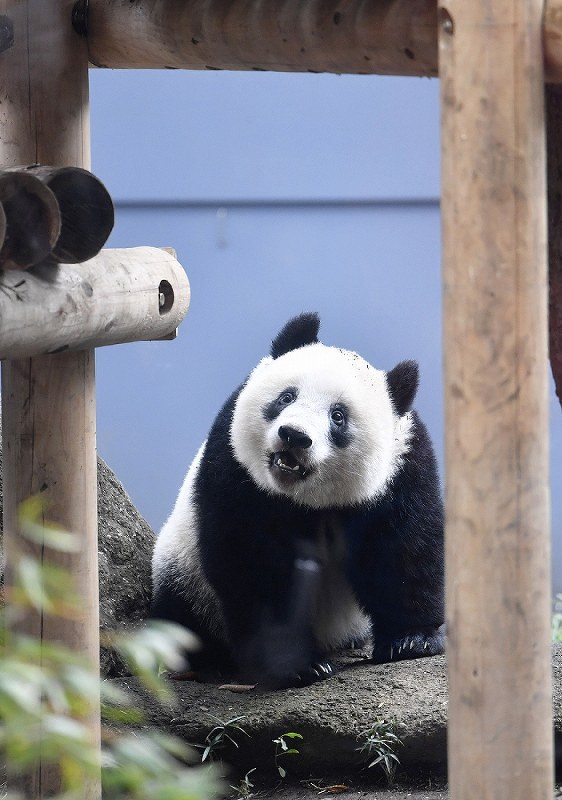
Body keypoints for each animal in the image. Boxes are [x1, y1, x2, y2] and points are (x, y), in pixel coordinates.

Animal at [151, 312, 445, 688]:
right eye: (286, 397)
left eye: (338, 416)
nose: (294, 436)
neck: (307, 498)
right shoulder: (236, 467)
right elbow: (253, 563)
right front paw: (299, 664)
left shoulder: (401, 467)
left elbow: (404, 548)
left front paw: (411, 639)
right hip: (184, 568)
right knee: (181, 615)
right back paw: (209, 661)